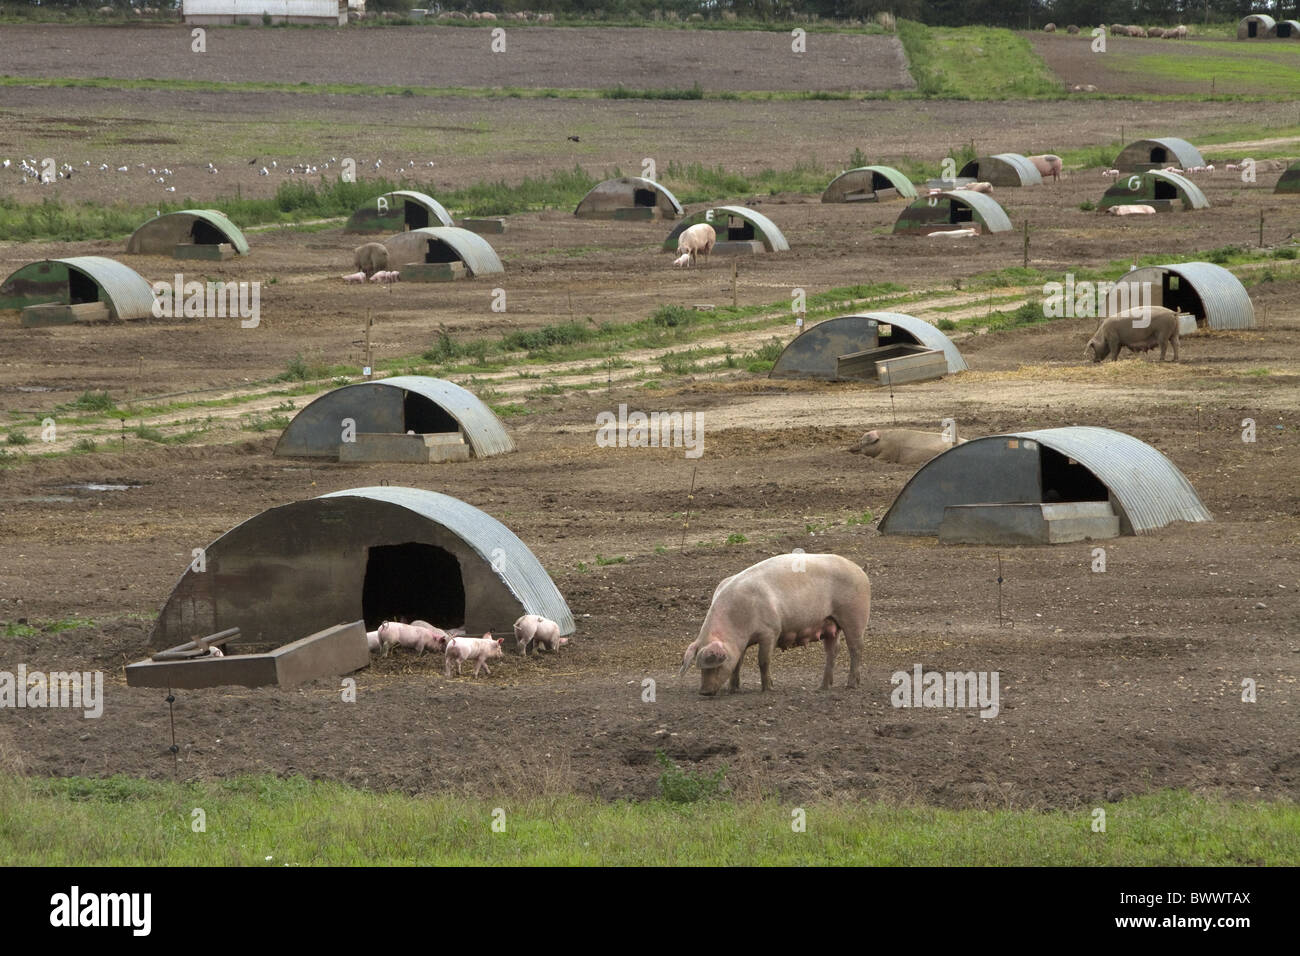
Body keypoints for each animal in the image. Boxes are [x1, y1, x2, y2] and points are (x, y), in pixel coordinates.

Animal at [679, 553, 870, 695]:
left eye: (714, 666)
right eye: (700, 668)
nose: (704, 692)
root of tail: (860, 570)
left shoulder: (770, 631)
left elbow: (763, 660)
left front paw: (768, 689)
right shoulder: (741, 643)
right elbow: (738, 663)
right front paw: (733, 690)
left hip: (855, 615)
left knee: (856, 648)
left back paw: (851, 685)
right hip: (830, 624)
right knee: (833, 651)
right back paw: (822, 687)